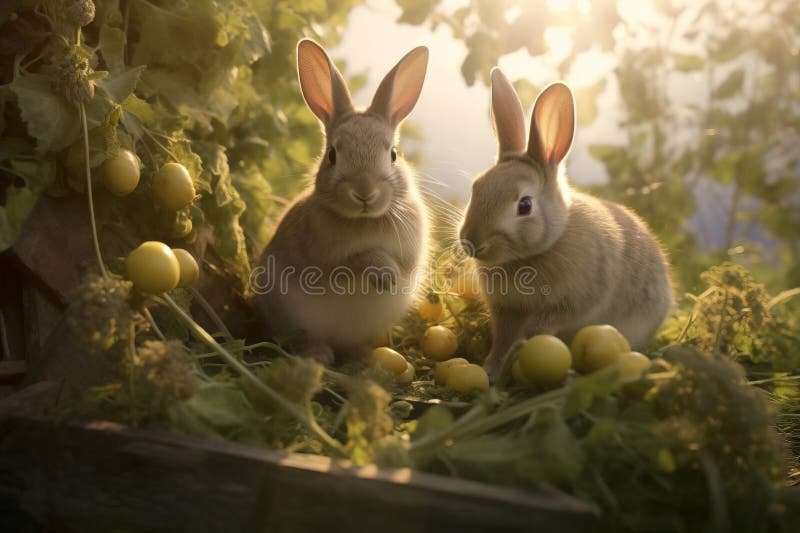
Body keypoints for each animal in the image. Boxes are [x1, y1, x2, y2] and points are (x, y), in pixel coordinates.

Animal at [254, 39, 430, 364]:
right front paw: (382, 275)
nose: (364, 192)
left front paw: (389, 278)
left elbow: (401, 265)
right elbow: (353, 261)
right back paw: (318, 354)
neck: (365, 219)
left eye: (393, 154)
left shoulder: (410, 255)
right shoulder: (322, 261)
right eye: (332, 155)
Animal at [459, 69, 673, 381]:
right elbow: (502, 339)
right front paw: (491, 370)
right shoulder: (505, 310)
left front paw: (515, 356)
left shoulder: (572, 302)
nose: (471, 242)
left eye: (525, 205)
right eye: (476, 187)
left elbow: (535, 329)